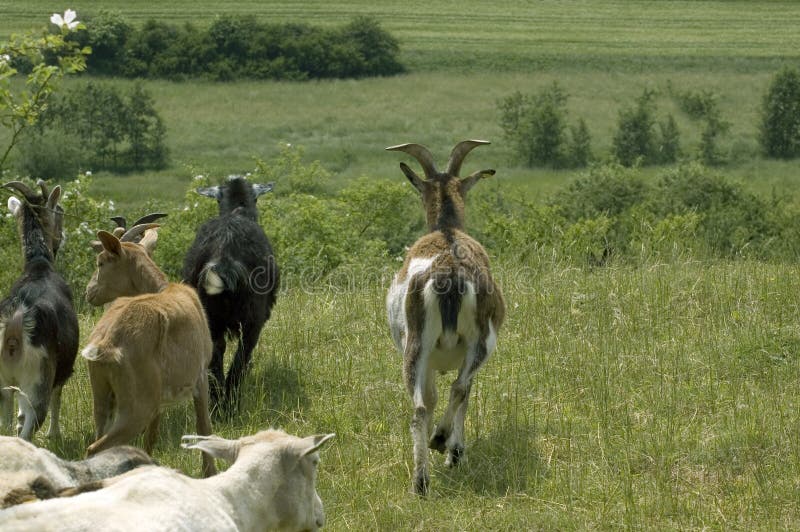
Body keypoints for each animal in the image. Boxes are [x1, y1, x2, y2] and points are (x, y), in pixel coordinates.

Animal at [0, 181, 79, 441]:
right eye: (59, 211)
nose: (61, 238)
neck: (39, 264)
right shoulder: (60, 370)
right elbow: (57, 397)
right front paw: (55, 435)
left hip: (5, 384)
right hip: (37, 376)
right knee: (34, 417)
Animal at [83, 228, 216, 477]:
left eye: (101, 262)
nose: (89, 292)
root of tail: (105, 343)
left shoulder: (160, 399)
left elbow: (151, 436)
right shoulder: (200, 375)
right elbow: (204, 426)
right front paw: (210, 473)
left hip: (103, 394)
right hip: (136, 403)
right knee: (96, 448)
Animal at [182, 175, 279, 413]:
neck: (237, 210)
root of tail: (224, 256)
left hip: (208, 316)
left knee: (215, 356)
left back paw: (217, 408)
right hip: (253, 317)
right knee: (240, 360)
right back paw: (231, 406)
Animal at [385, 140, 506, 494]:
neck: (446, 230)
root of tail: (449, 273)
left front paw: (453, 450)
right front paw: (455, 451)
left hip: (418, 346)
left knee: (425, 405)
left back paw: (425, 473)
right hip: (477, 343)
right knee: (455, 390)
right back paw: (437, 448)